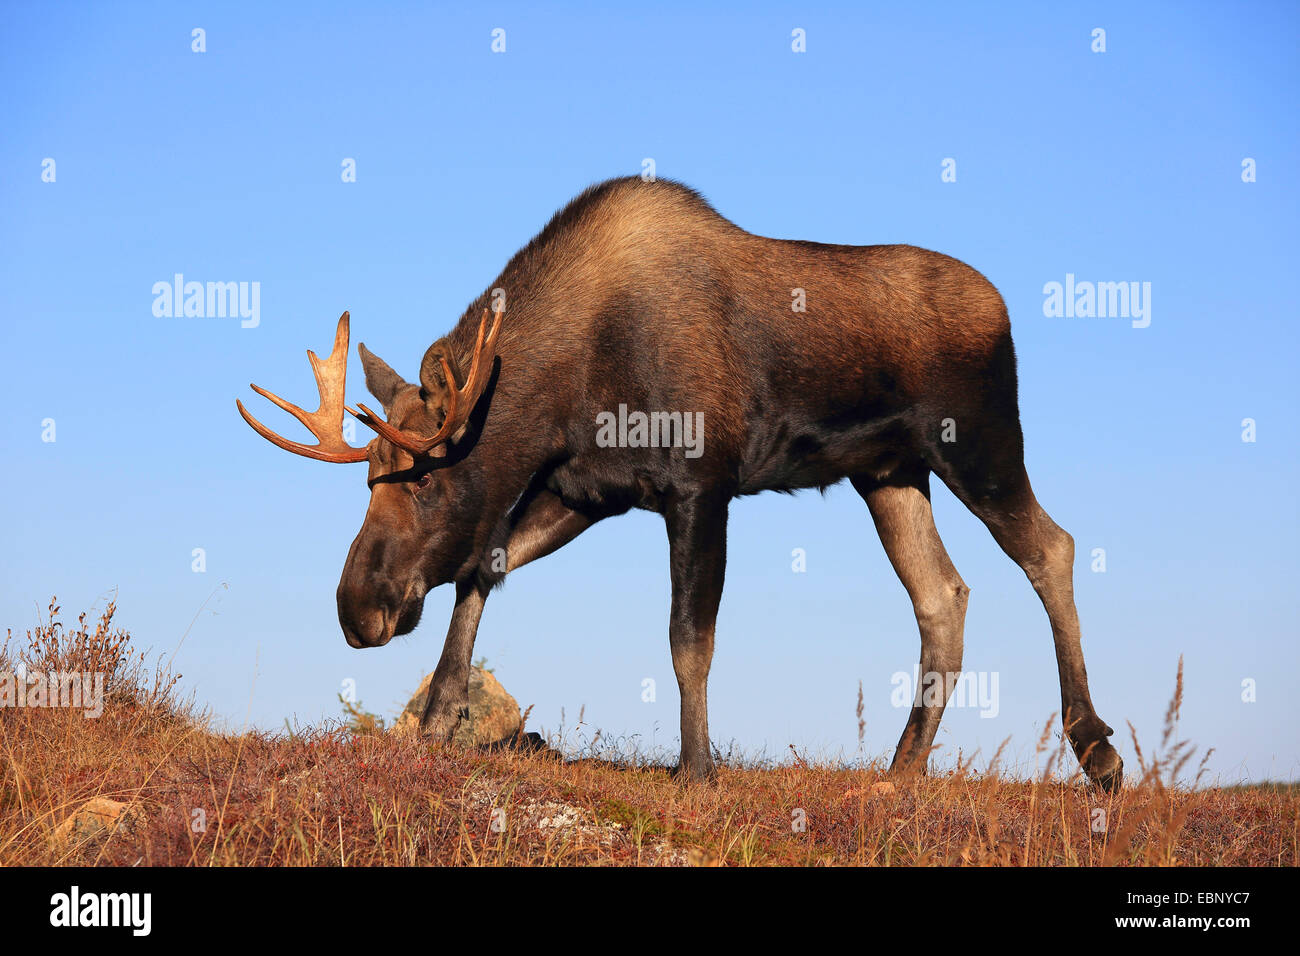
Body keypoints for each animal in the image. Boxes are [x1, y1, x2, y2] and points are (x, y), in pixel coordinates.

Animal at [236, 177, 1124, 791]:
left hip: (978, 442)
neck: (565, 388)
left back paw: (1097, 747)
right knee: (943, 593)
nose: (358, 609)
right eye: (369, 482)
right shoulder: (584, 491)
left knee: (1051, 546)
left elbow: (687, 639)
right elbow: (481, 568)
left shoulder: (702, 486)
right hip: (889, 473)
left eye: (425, 482)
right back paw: (902, 769)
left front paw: (696, 767)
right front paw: (439, 714)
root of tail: (1002, 311)